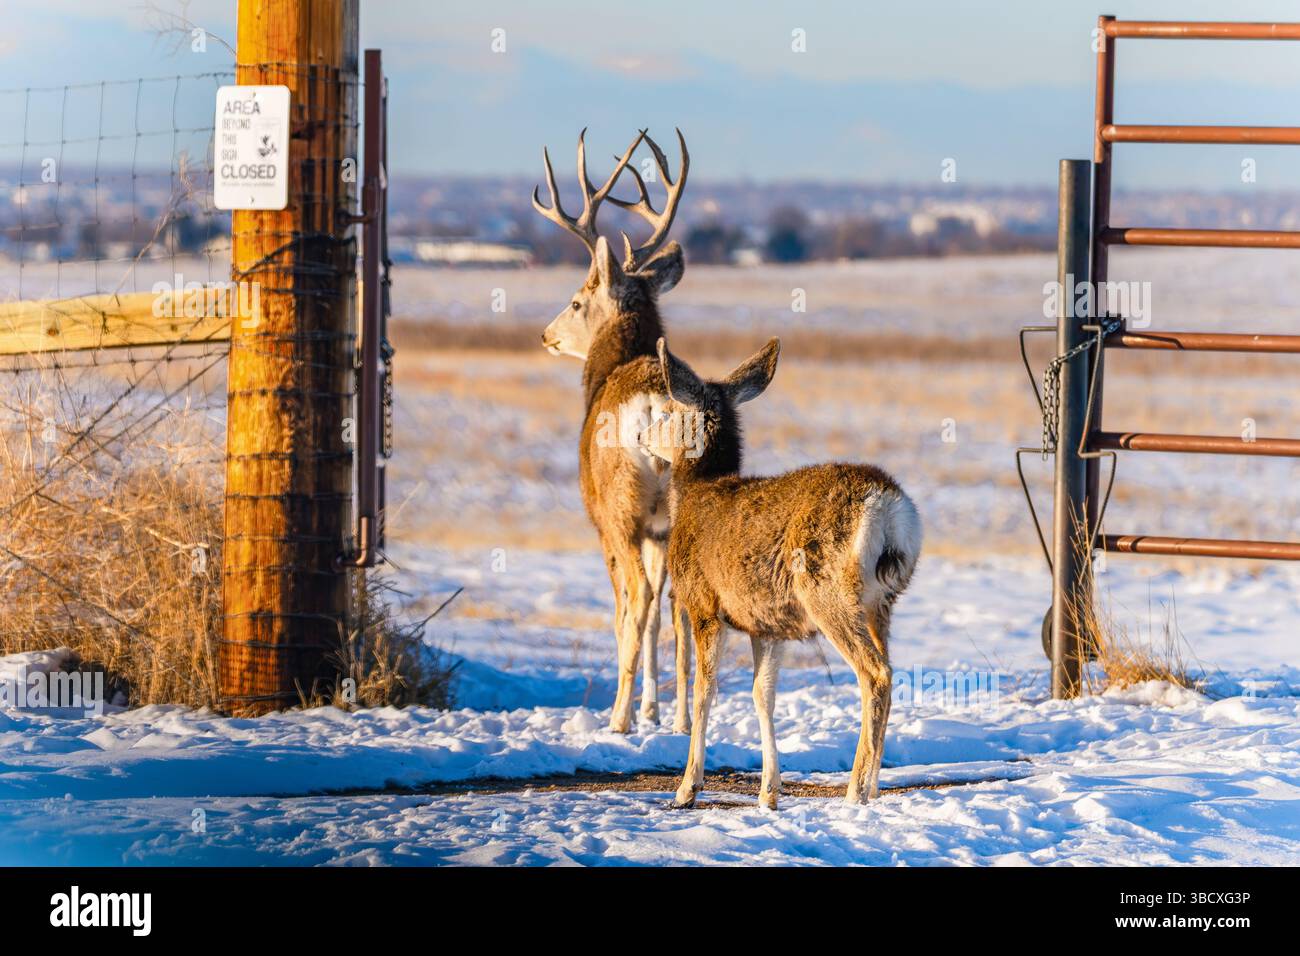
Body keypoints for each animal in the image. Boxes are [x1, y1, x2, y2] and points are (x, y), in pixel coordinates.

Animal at [531, 128, 693, 734]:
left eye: (577, 299)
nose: (546, 335)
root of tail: (659, 405)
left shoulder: (602, 519)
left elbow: (623, 610)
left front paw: (632, 710)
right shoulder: (658, 529)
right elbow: (657, 617)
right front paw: (655, 709)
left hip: (621, 502)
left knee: (638, 597)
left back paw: (617, 718)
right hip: (678, 510)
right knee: (677, 606)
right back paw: (682, 720)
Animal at [637, 337, 922, 809]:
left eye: (667, 410)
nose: (640, 437)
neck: (696, 493)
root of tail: (888, 506)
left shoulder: (704, 604)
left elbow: (704, 691)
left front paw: (686, 788)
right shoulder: (766, 623)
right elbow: (762, 695)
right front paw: (769, 792)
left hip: (828, 590)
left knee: (875, 673)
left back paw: (854, 791)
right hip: (882, 602)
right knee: (891, 669)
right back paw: (873, 788)